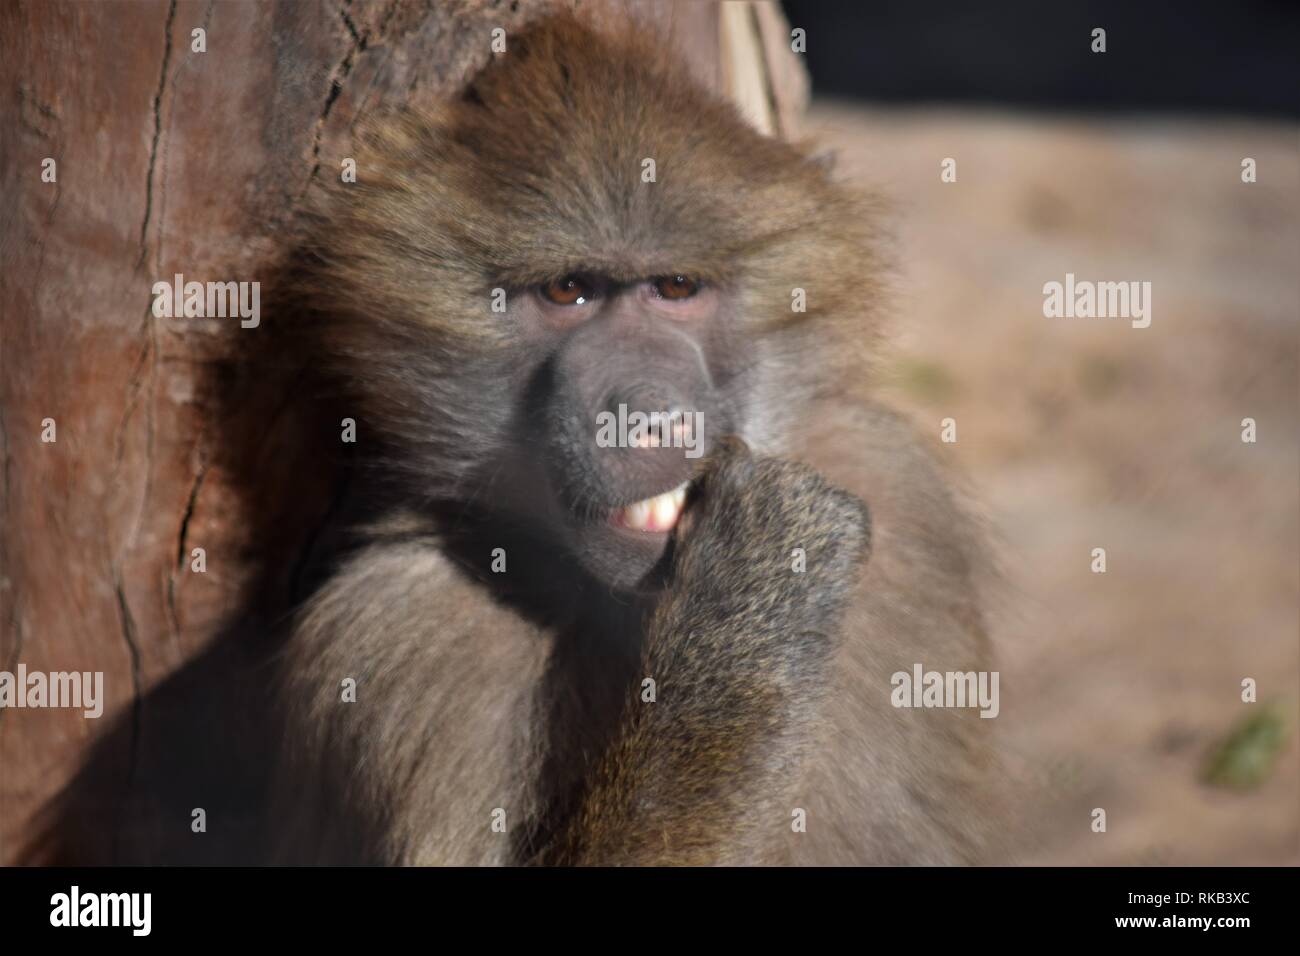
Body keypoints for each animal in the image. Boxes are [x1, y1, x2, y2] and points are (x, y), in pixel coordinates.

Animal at [271, 12, 1001, 866]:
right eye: (568, 291)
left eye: (676, 287)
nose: (650, 415)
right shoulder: (395, 626)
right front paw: (746, 609)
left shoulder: (902, 503)